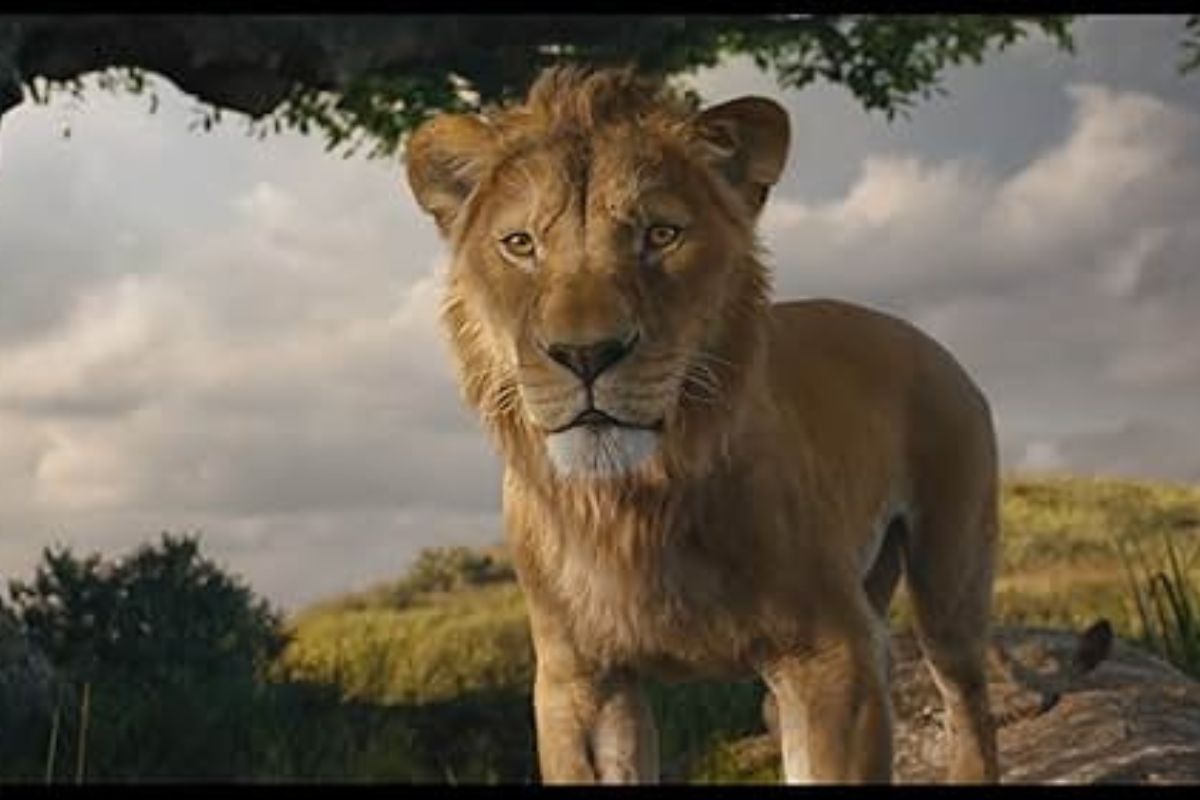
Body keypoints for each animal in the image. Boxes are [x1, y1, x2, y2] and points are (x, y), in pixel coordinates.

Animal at [404, 65, 1000, 784]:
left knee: (967, 701)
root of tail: (924, 340)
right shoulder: (579, 680)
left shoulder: (829, 652)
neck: (631, 505)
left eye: (661, 235)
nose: (586, 355)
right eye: (520, 244)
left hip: (949, 580)